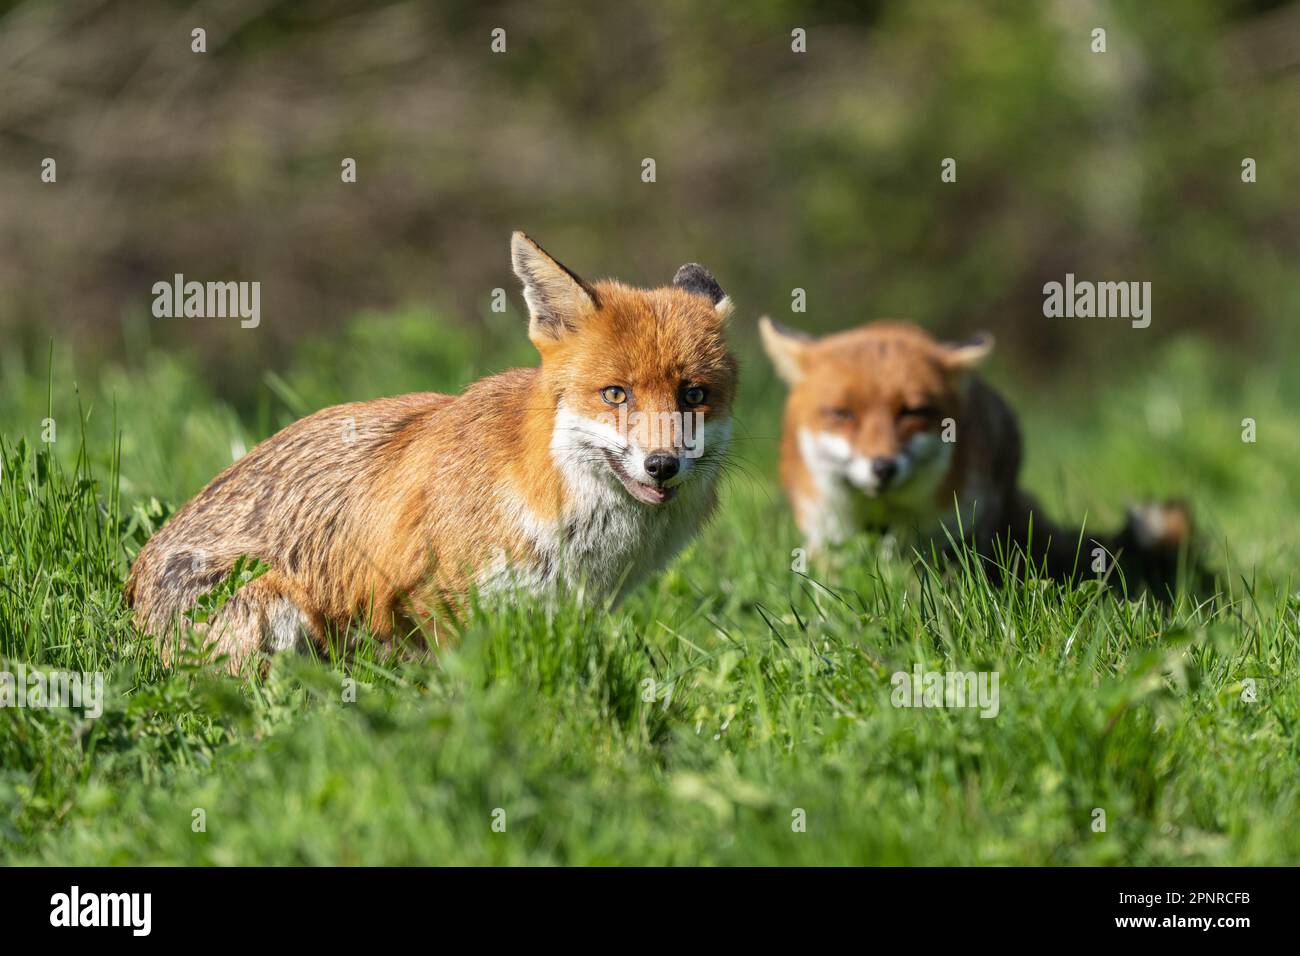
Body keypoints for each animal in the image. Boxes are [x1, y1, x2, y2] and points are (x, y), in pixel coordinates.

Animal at [125, 233, 739, 671]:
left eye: (693, 396)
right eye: (615, 394)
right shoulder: (430, 599)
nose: (662, 465)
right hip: (276, 605)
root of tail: (129, 595)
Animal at [759, 317, 1192, 593]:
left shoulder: (957, 535)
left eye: (912, 412)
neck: (885, 517)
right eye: (843, 414)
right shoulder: (827, 533)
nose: (883, 467)